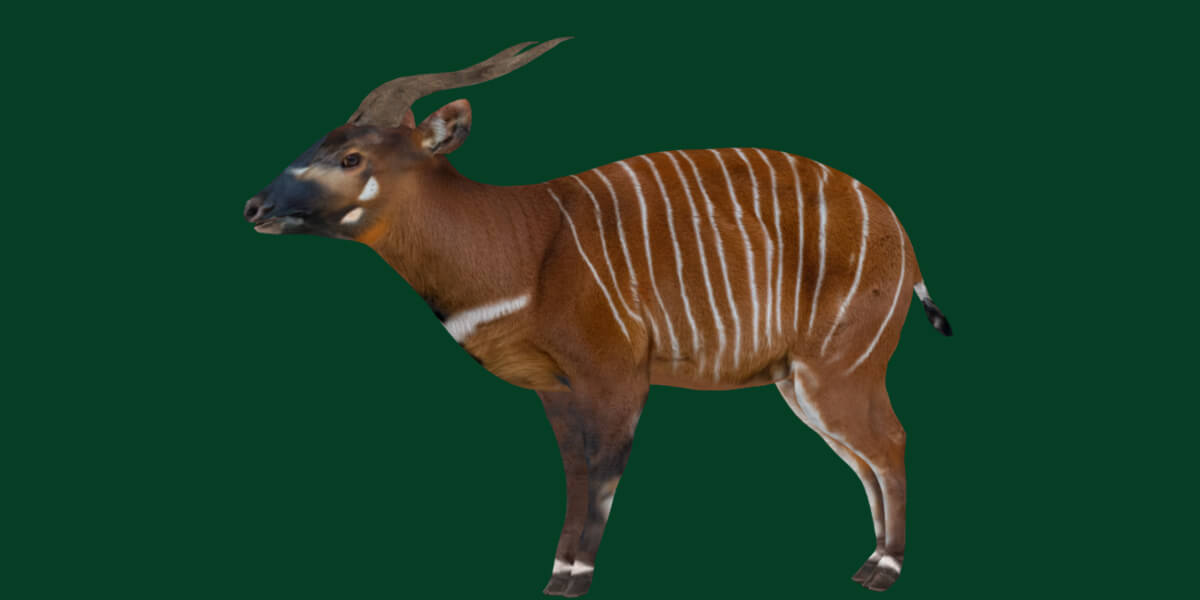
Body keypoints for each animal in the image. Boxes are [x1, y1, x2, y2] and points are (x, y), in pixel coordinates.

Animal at [243, 38, 952, 596]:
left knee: (889, 441)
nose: (255, 207)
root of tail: (905, 241)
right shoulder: (557, 390)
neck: (525, 247)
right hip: (799, 383)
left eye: (352, 158)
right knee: (862, 454)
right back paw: (868, 563)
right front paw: (558, 571)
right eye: (323, 141)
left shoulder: (615, 379)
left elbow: (603, 474)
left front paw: (572, 579)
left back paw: (886, 569)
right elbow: (576, 471)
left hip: (837, 368)